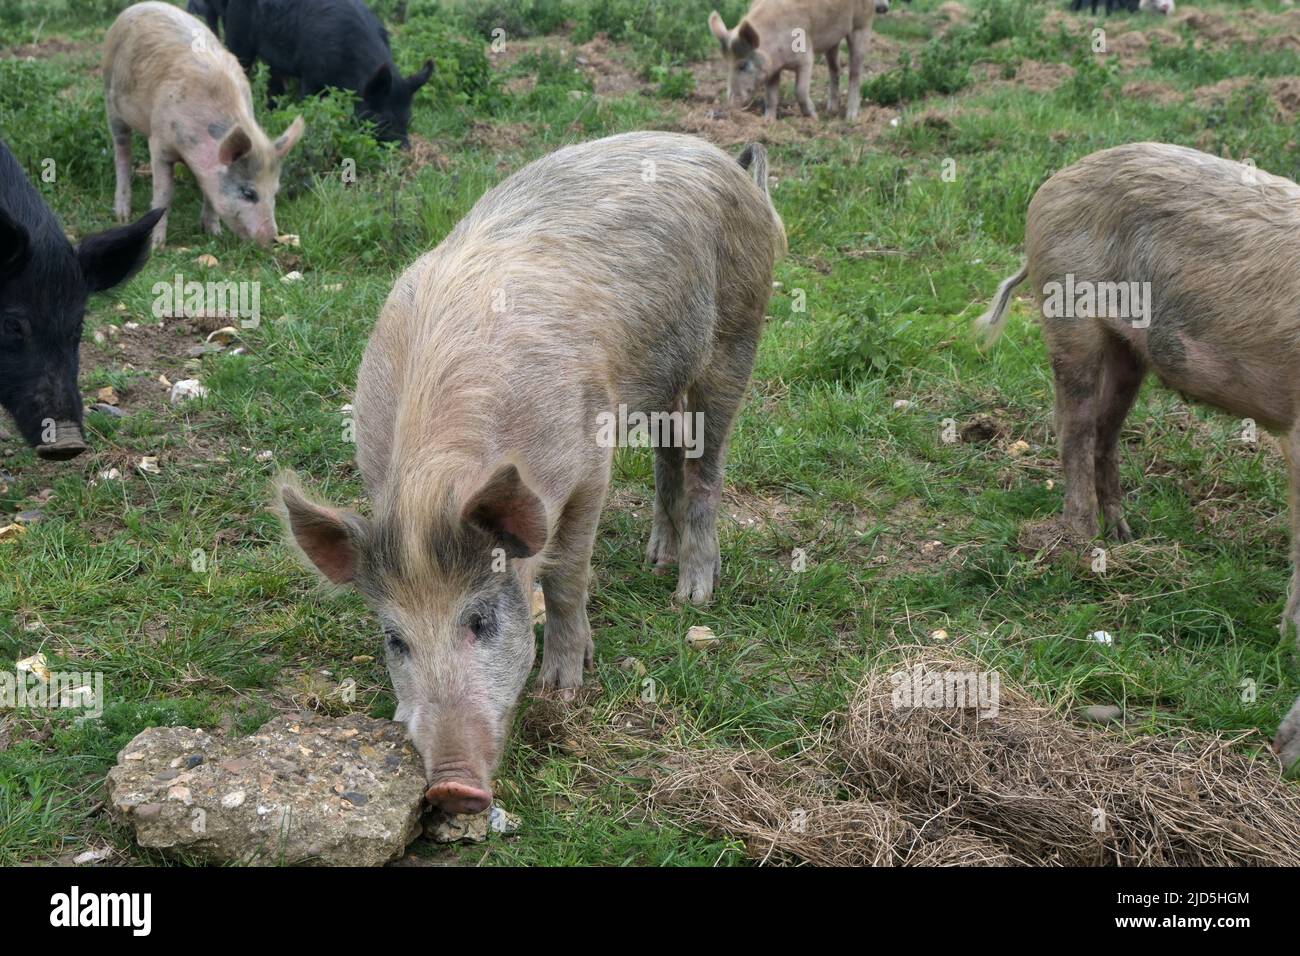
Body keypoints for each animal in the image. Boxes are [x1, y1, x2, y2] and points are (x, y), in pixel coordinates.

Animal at [103, 2, 306, 249]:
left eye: (275, 191)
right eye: (249, 193)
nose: (273, 239)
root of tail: (134, 8)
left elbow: (209, 195)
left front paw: (214, 234)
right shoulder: (159, 142)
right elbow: (163, 194)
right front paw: (157, 246)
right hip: (111, 99)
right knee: (122, 151)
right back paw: (122, 215)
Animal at [223, 0, 433, 147]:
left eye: (409, 118)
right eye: (384, 119)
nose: (406, 150)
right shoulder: (310, 74)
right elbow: (309, 102)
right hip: (238, 34)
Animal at [276, 132, 784, 813]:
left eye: (480, 621)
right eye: (395, 640)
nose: (453, 787)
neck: (435, 484)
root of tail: (728, 165)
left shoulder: (589, 467)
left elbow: (567, 574)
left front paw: (564, 687)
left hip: (736, 333)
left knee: (709, 464)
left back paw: (690, 593)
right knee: (670, 452)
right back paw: (655, 559)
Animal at [708, 0, 876, 120]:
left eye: (742, 65)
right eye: (727, 65)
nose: (731, 103)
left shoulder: (806, 57)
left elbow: (800, 90)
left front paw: (813, 117)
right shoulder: (772, 68)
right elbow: (771, 96)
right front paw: (768, 121)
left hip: (862, 24)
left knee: (855, 71)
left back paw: (851, 118)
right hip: (833, 40)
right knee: (835, 67)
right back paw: (831, 111)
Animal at [977, 142, 1300, 640]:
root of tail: (1058, 179)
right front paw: (1287, 641)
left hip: (1130, 351)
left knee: (1104, 432)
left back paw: (1125, 535)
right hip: (1068, 314)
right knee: (1073, 429)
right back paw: (1082, 545)